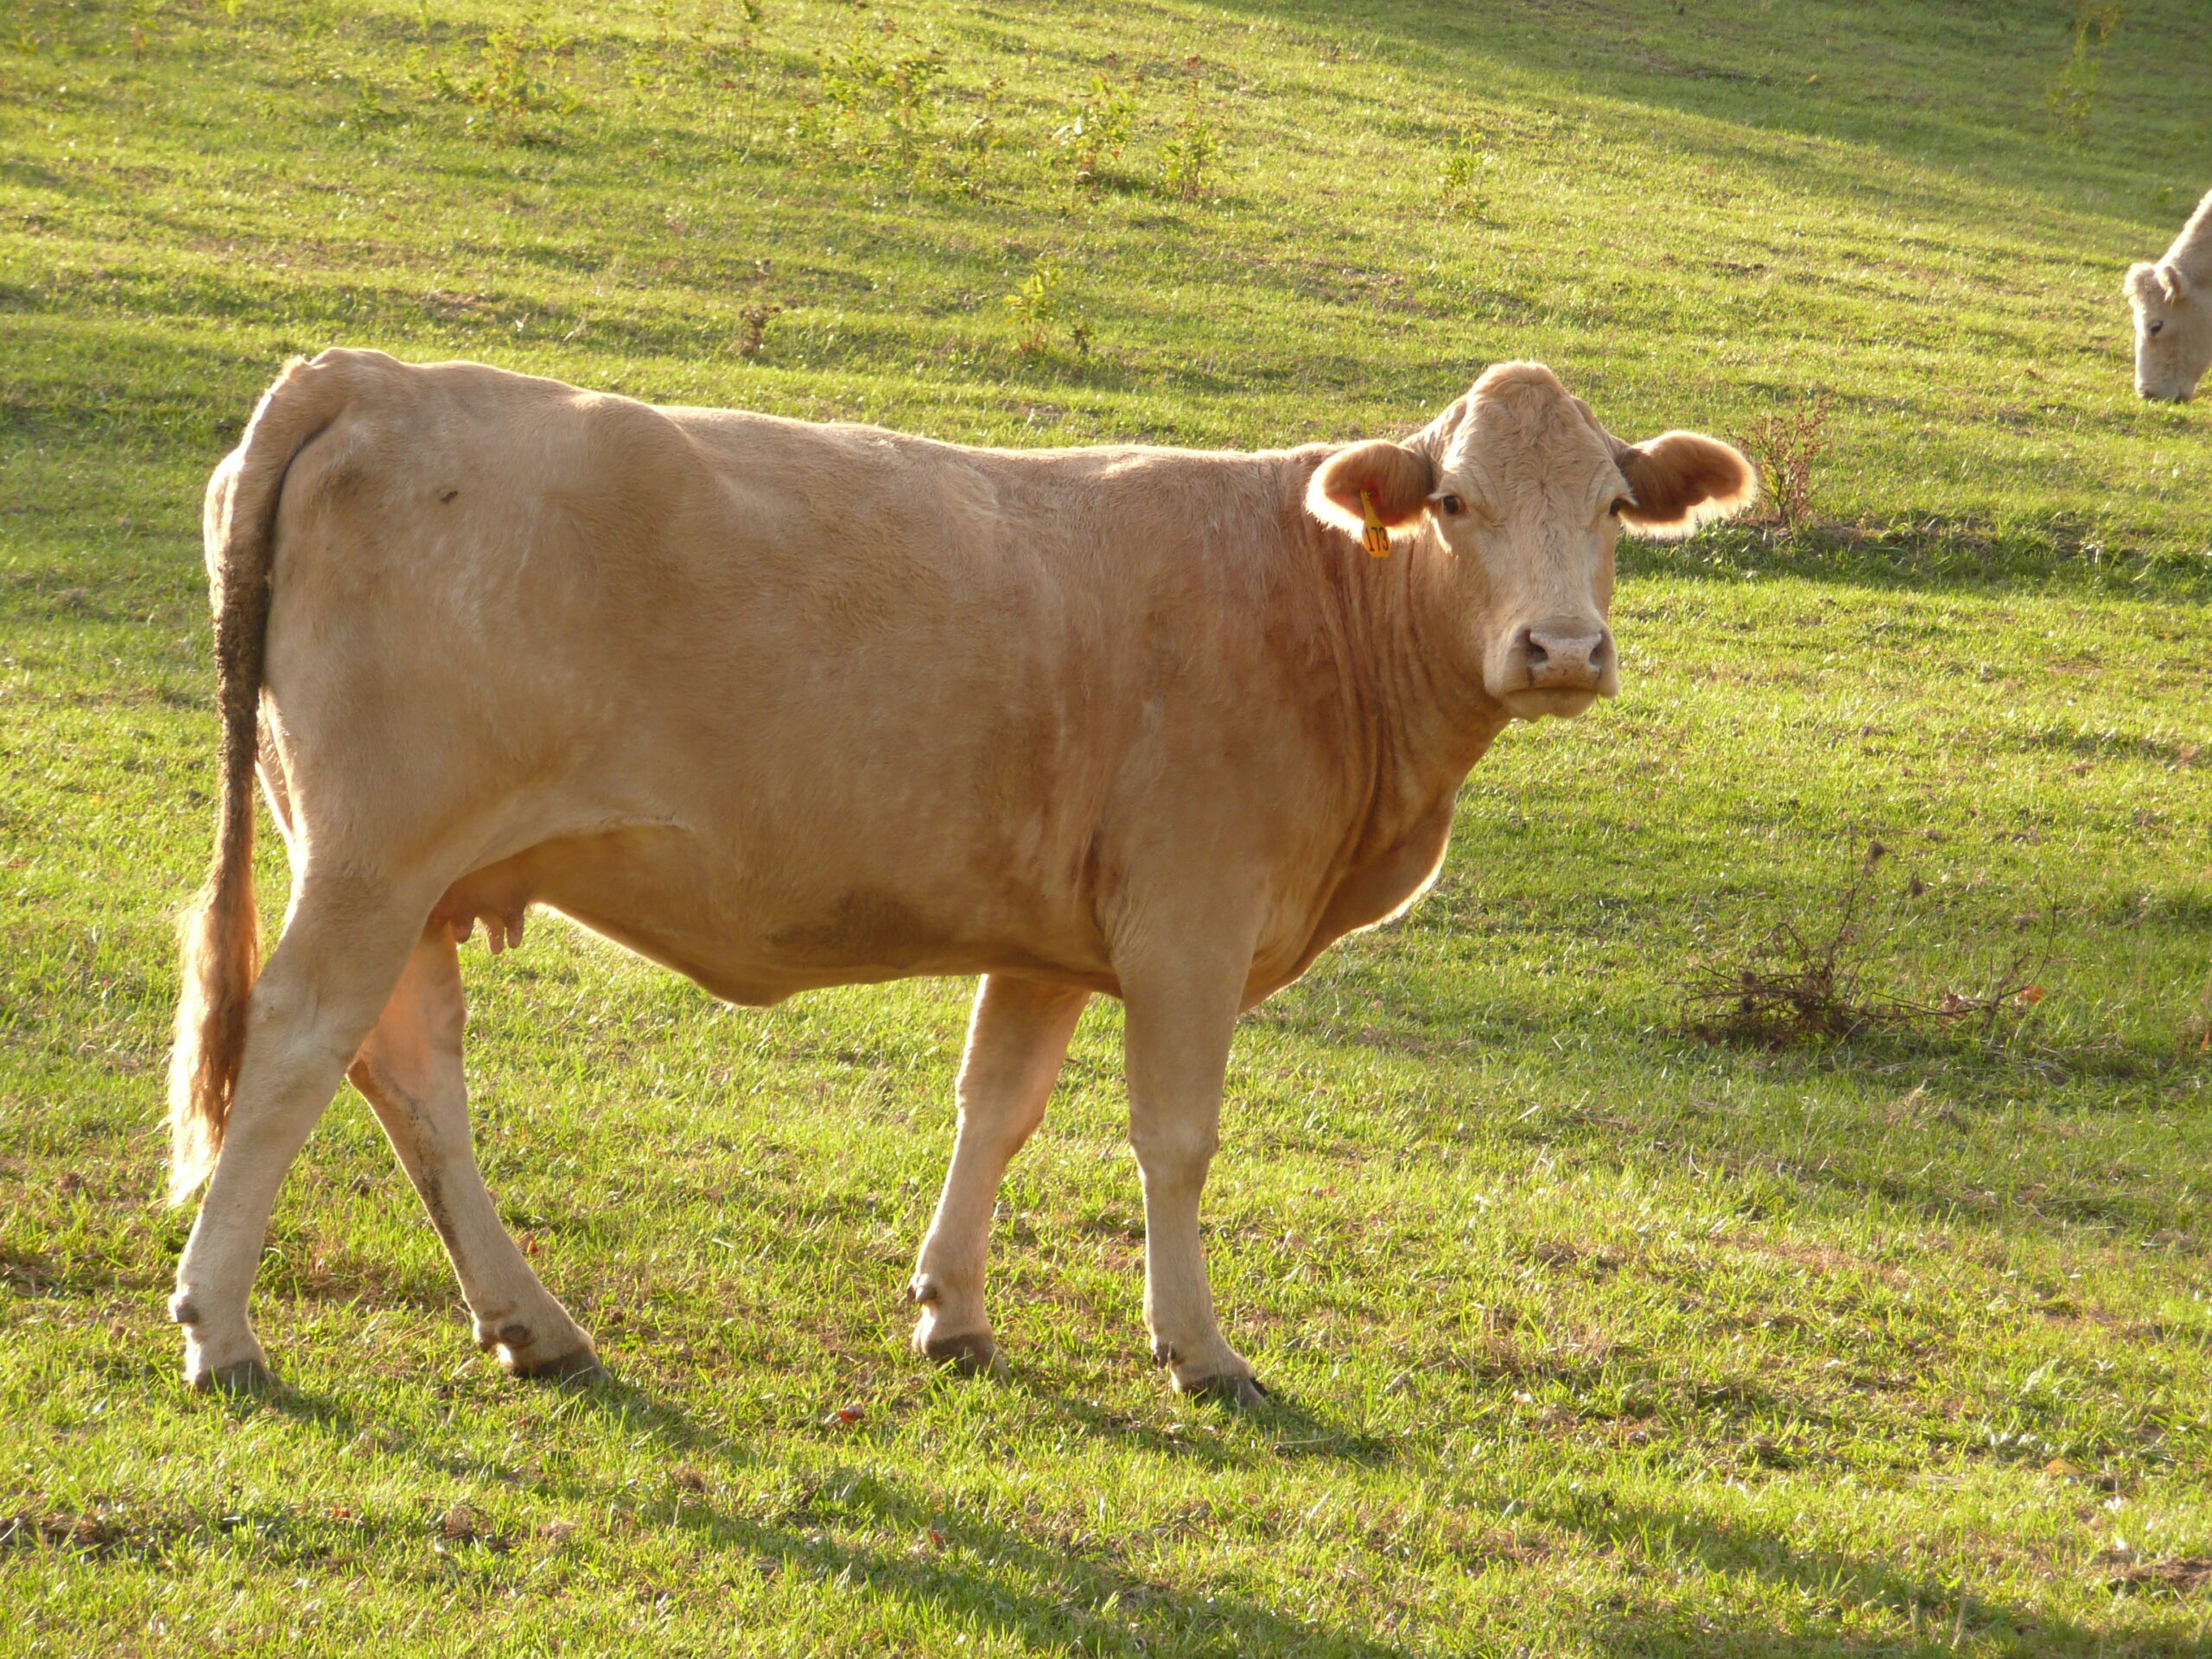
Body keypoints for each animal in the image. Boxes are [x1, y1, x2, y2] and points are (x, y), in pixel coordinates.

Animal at [166, 350, 1754, 1400]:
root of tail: (375, 375)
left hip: (406, 873)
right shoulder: (1191, 922)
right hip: (377, 852)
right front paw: (1199, 1348)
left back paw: (529, 1322)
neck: (1315, 608)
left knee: (409, 1067)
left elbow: (998, 1109)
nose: (1561, 649)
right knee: (303, 1040)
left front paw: (955, 1313)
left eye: (1612, 506)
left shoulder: (1051, 939)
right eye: (1457, 504)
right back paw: (222, 1326)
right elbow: (1175, 1138)